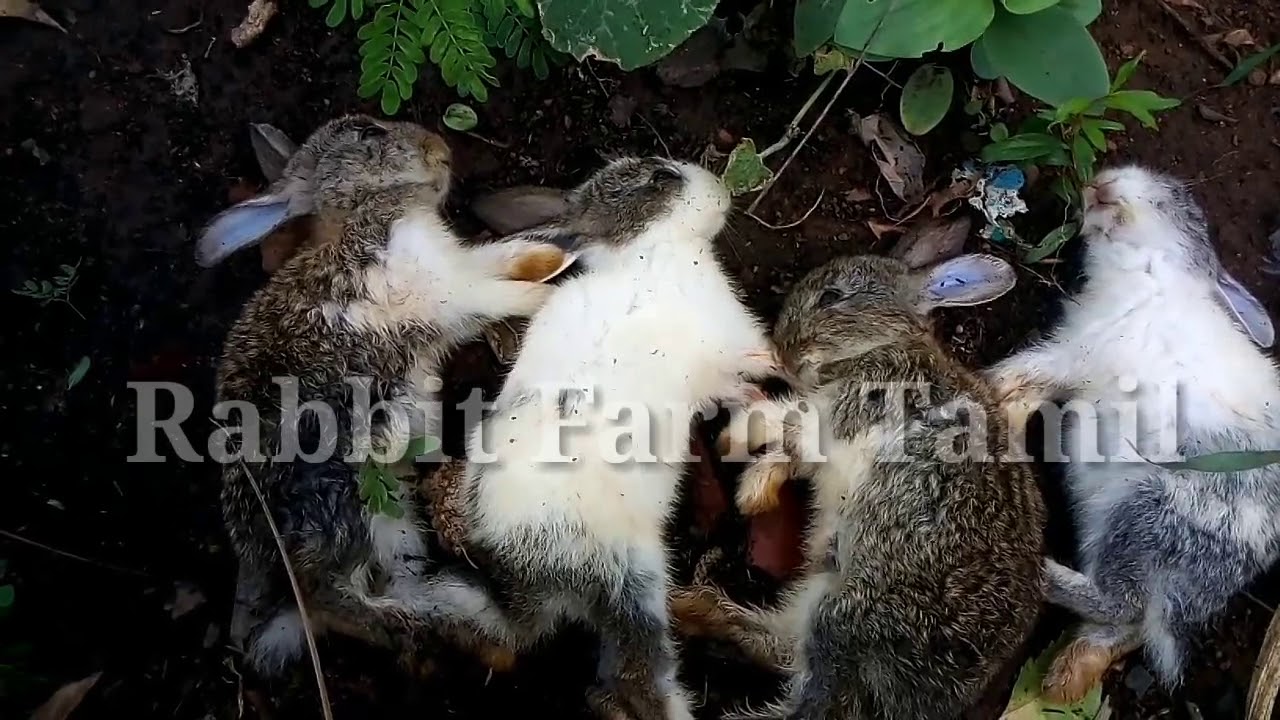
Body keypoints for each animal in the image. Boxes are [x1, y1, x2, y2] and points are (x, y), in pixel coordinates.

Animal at [209, 113, 574, 678]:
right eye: (368, 133)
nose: (440, 149)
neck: (369, 210)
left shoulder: (457, 269)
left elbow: (498, 258)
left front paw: (549, 258)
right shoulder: (438, 291)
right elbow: (498, 293)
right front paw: (550, 294)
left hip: (394, 525)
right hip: (336, 499)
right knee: (340, 602)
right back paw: (429, 626)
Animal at [413, 156, 782, 720]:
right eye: (661, 178)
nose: (720, 189)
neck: (648, 255)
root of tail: (536, 576)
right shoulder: (729, 343)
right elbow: (751, 368)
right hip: (634, 581)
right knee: (637, 681)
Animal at [670, 253, 1047, 720]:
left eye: (831, 296)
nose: (785, 353)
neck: (882, 343)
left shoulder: (853, 407)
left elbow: (787, 420)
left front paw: (739, 453)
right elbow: (790, 450)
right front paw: (755, 490)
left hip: (844, 609)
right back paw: (690, 605)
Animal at [983, 164, 1280, 702]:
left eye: (1174, 199)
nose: (1100, 183)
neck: (1151, 272)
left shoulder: (1077, 351)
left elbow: (1020, 375)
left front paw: (981, 392)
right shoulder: (1073, 356)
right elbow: (1025, 386)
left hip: (1140, 513)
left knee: (1121, 605)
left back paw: (1039, 572)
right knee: (1127, 626)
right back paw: (1065, 676)